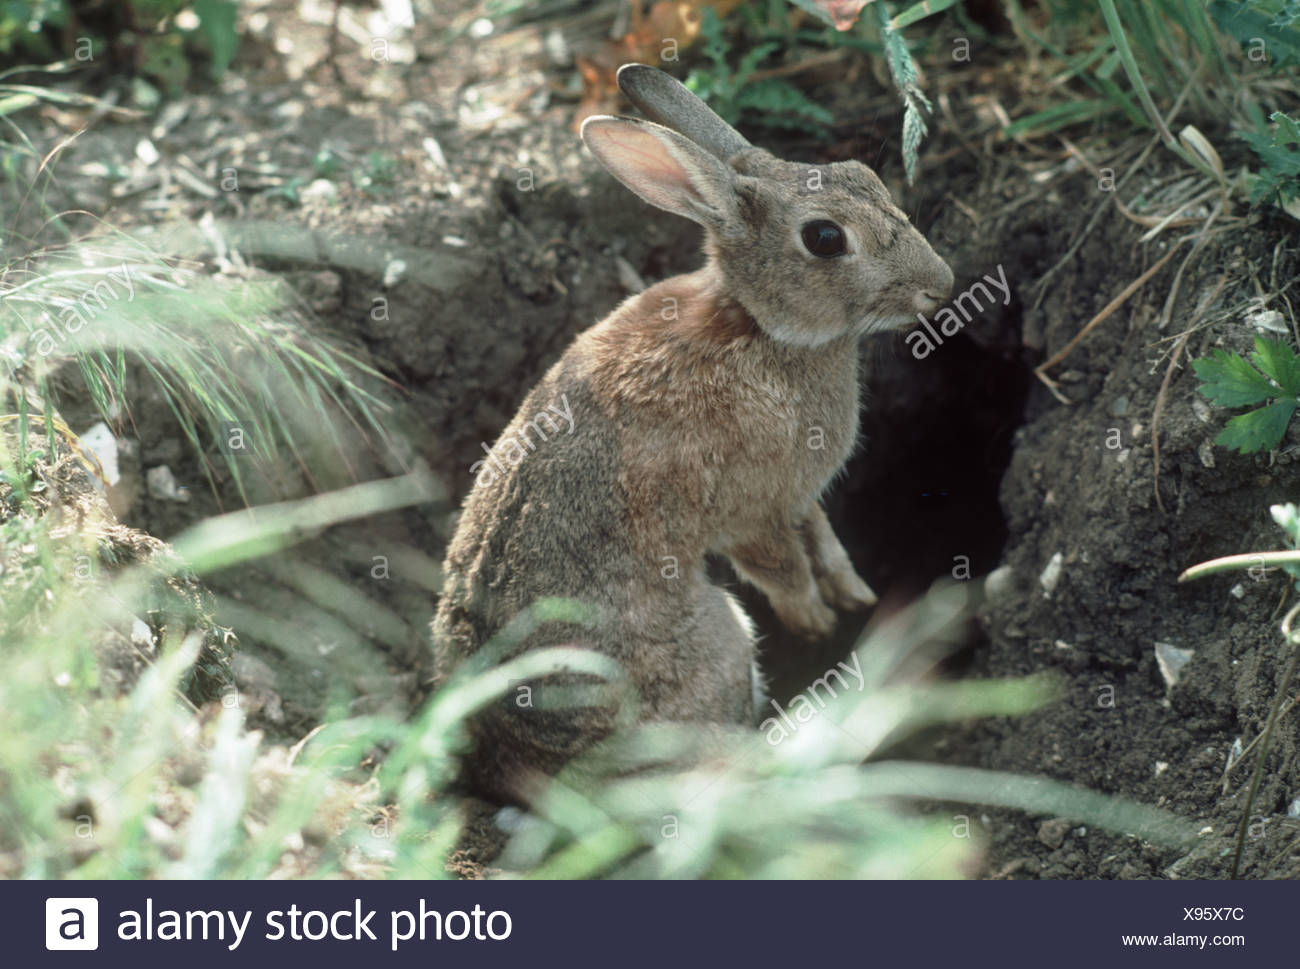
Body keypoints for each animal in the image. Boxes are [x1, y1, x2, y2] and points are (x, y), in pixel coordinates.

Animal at [432, 63, 954, 803]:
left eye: (864, 176)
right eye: (825, 238)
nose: (942, 286)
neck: (760, 327)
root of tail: (527, 771)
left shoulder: (798, 498)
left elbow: (823, 538)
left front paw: (856, 594)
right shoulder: (750, 515)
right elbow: (785, 568)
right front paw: (820, 624)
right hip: (718, 635)